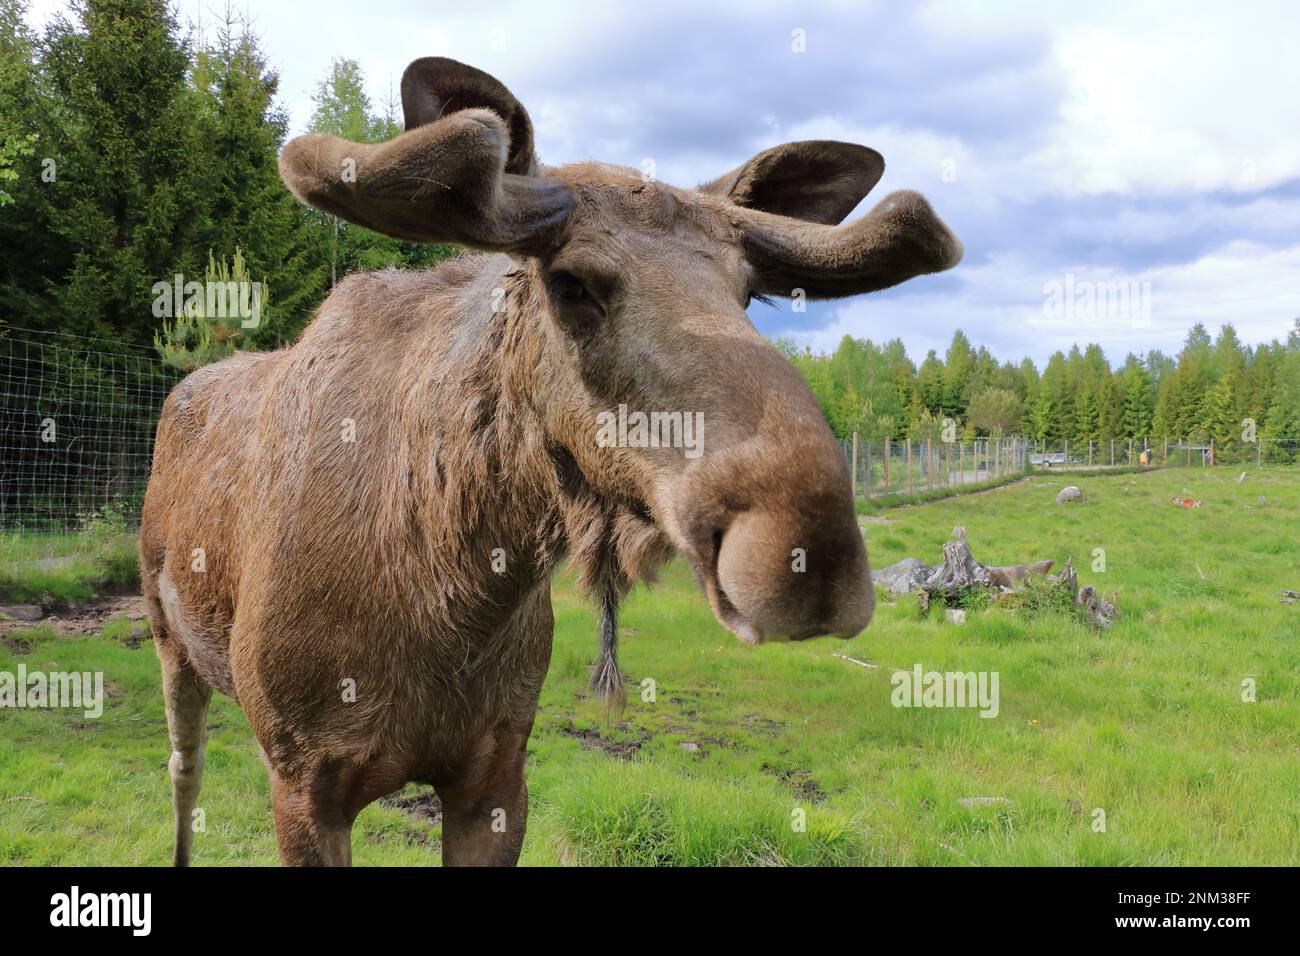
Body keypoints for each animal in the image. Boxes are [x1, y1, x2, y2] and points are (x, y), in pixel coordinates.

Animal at [139, 57, 962, 866]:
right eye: (570, 283)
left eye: (750, 294)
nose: (812, 555)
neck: (453, 594)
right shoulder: (304, 780)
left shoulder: (499, 772)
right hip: (169, 637)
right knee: (184, 773)